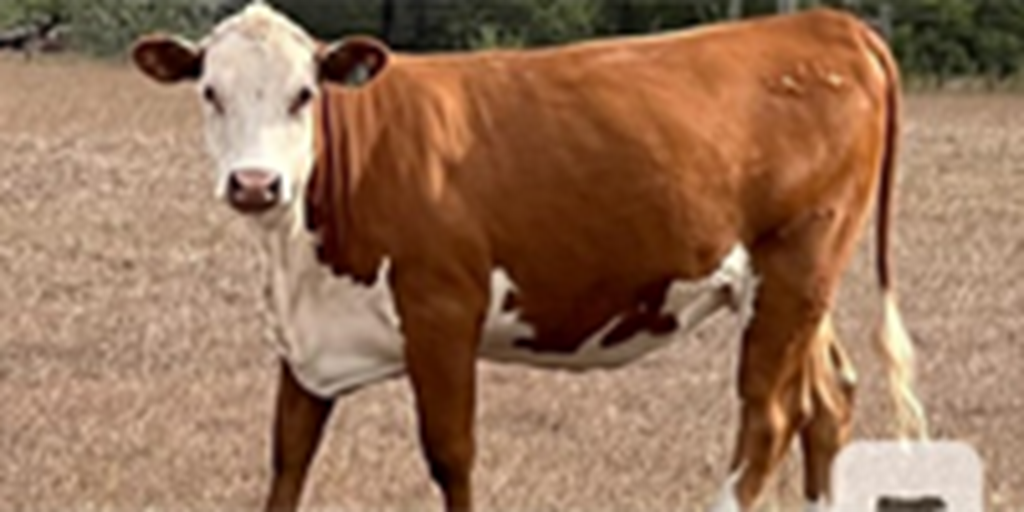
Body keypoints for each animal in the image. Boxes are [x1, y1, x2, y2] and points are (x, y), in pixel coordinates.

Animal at [130, 2, 928, 511]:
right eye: (210, 91)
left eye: (304, 94)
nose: (255, 183)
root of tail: (826, 23)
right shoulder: (309, 344)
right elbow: (288, 458)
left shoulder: (443, 312)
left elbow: (450, 453)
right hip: (798, 287)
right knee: (827, 402)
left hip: (794, 268)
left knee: (768, 416)